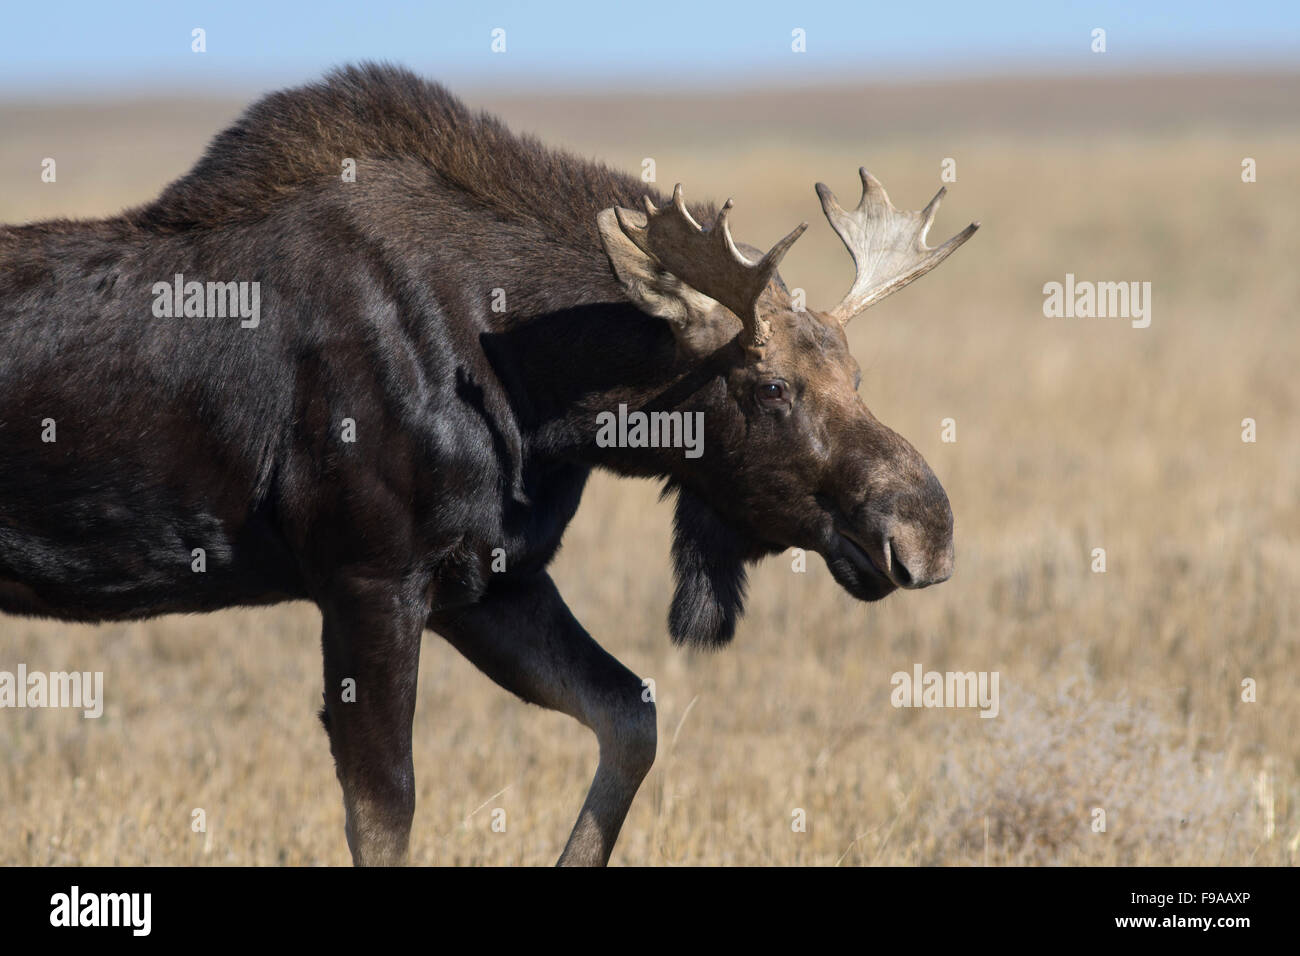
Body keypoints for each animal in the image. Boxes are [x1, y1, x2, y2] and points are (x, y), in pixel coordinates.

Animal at [0, 64, 978, 865]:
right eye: (772, 385)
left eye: (857, 374)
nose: (925, 533)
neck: (544, 398)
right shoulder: (369, 577)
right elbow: (385, 812)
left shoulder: (488, 580)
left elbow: (632, 718)